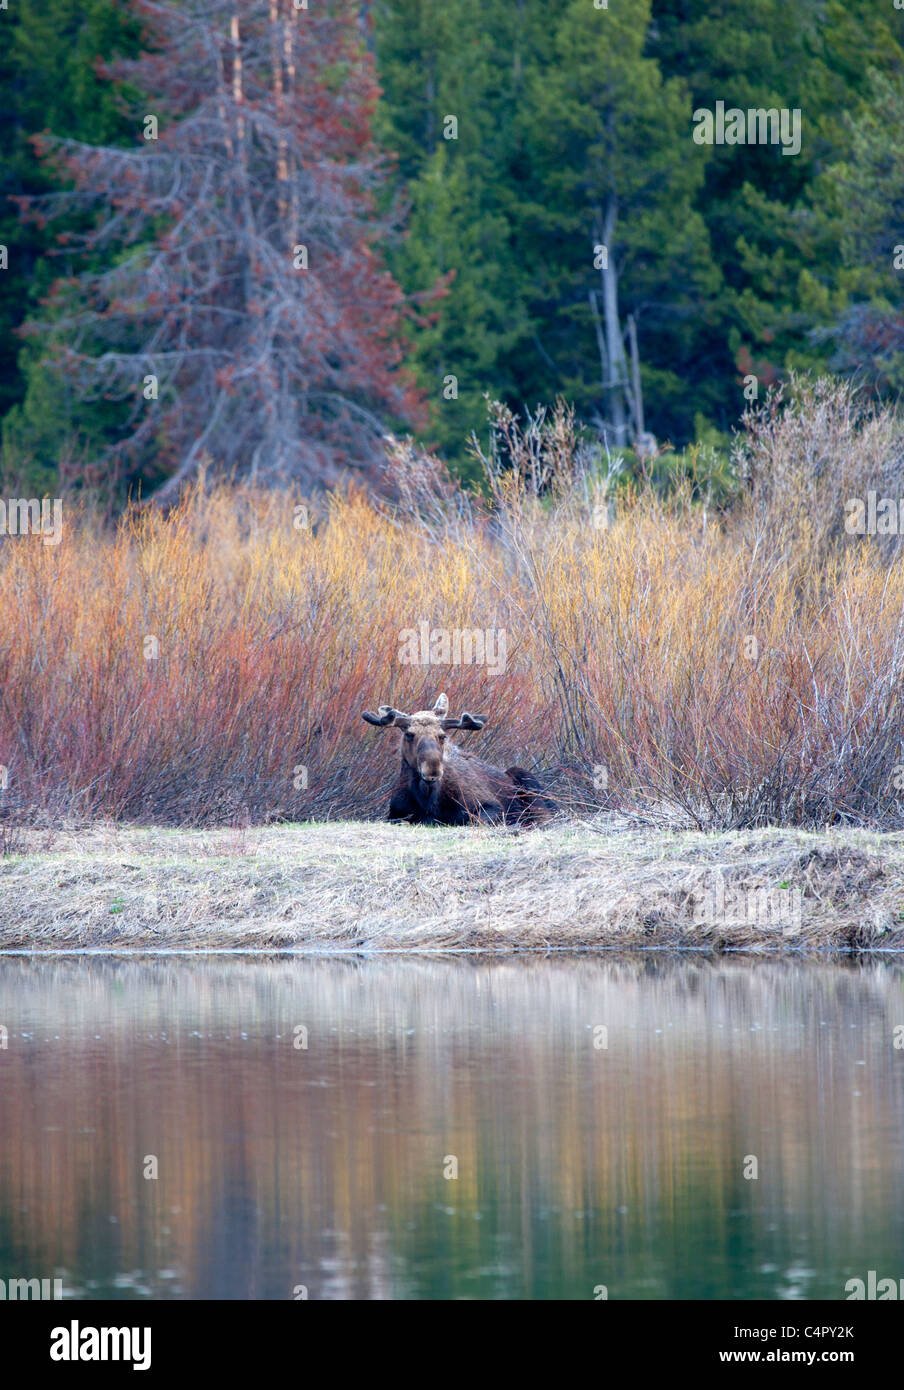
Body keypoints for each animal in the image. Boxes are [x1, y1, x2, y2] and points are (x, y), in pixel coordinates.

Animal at [362, 693, 555, 827]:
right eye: (409, 734)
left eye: (442, 736)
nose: (432, 770)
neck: (427, 798)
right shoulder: (394, 814)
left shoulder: (492, 806)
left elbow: (472, 820)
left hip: (526, 779)